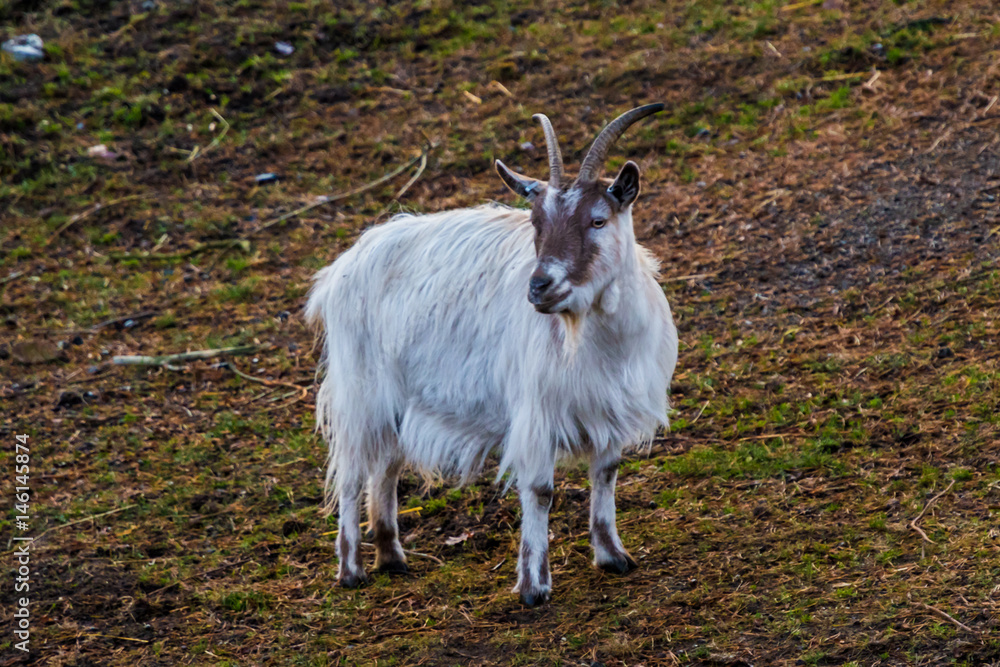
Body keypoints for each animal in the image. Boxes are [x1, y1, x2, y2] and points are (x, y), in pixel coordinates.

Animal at [305, 104, 678, 606]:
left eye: (598, 220)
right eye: (536, 224)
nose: (539, 287)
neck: (595, 337)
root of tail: (340, 269)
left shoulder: (607, 407)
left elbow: (606, 474)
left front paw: (613, 557)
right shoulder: (536, 411)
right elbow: (540, 490)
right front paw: (534, 586)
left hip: (396, 400)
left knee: (385, 466)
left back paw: (392, 557)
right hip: (360, 392)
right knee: (350, 471)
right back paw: (351, 570)